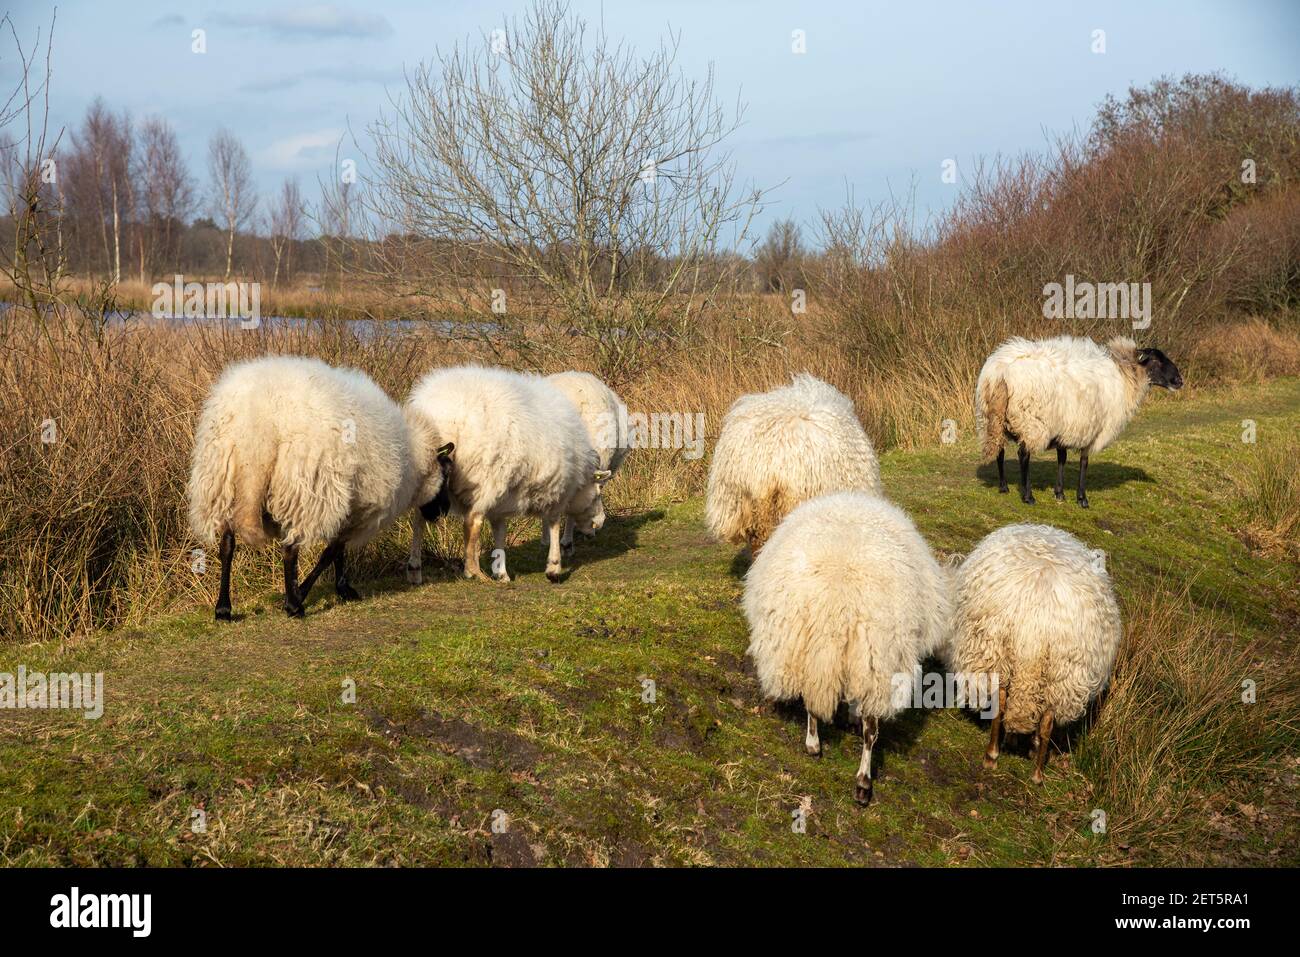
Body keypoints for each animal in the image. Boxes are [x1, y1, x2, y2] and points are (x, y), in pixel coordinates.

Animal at [188, 355, 453, 620]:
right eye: (448, 473)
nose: (442, 512)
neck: (413, 457)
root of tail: (258, 424)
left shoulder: (349, 505)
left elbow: (337, 551)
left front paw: (342, 589)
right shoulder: (361, 509)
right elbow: (332, 552)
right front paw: (314, 591)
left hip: (222, 482)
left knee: (227, 545)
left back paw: (223, 609)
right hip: (300, 490)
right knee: (289, 549)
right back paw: (294, 605)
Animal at [404, 365, 610, 584]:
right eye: (597, 494)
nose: (601, 522)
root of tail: (444, 417)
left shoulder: (501, 503)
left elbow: (499, 532)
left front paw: (501, 571)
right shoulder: (556, 490)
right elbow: (553, 524)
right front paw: (554, 567)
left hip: (435, 479)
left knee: (419, 519)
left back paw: (415, 568)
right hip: (485, 479)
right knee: (472, 521)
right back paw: (473, 571)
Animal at [742, 491, 952, 805]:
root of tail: (837, 600)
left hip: (841, 656)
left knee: (820, 702)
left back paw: (821, 750)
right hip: (876, 661)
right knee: (869, 728)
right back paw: (862, 781)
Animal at [945, 523, 1122, 783]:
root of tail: (1035, 625)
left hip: (999, 655)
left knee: (1003, 702)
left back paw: (993, 756)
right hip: (1061, 674)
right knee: (1044, 718)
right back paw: (1036, 773)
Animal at [976, 335, 1183, 507]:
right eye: (1156, 360)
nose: (1179, 381)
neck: (1126, 377)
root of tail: (1000, 373)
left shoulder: (1067, 426)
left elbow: (1062, 458)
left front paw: (1059, 493)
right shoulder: (1091, 429)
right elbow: (1084, 461)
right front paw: (1082, 498)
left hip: (993, 419)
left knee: (1000, 450)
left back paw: (1003, 487)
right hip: (1030, 422)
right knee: (1023, 454)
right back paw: (1028, 496)